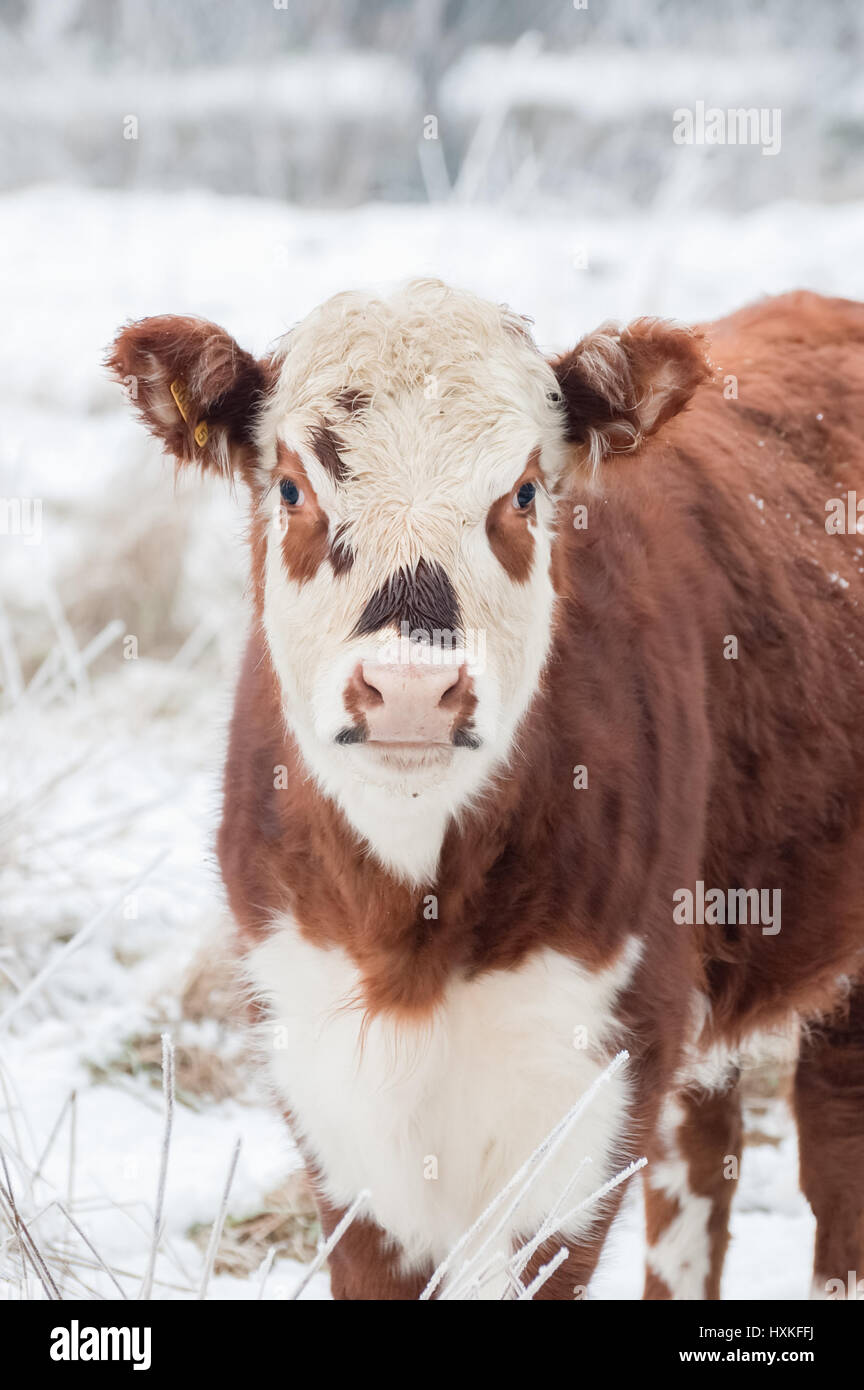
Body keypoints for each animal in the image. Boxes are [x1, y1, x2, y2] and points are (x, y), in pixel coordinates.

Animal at [109, 282, 864, 1300]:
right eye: (294, 486)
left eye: (525, 491)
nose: (411, 688)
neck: (406, 925)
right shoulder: (327, 1079)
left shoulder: (584, 1082)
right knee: (701, 1151)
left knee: (835, 1136)